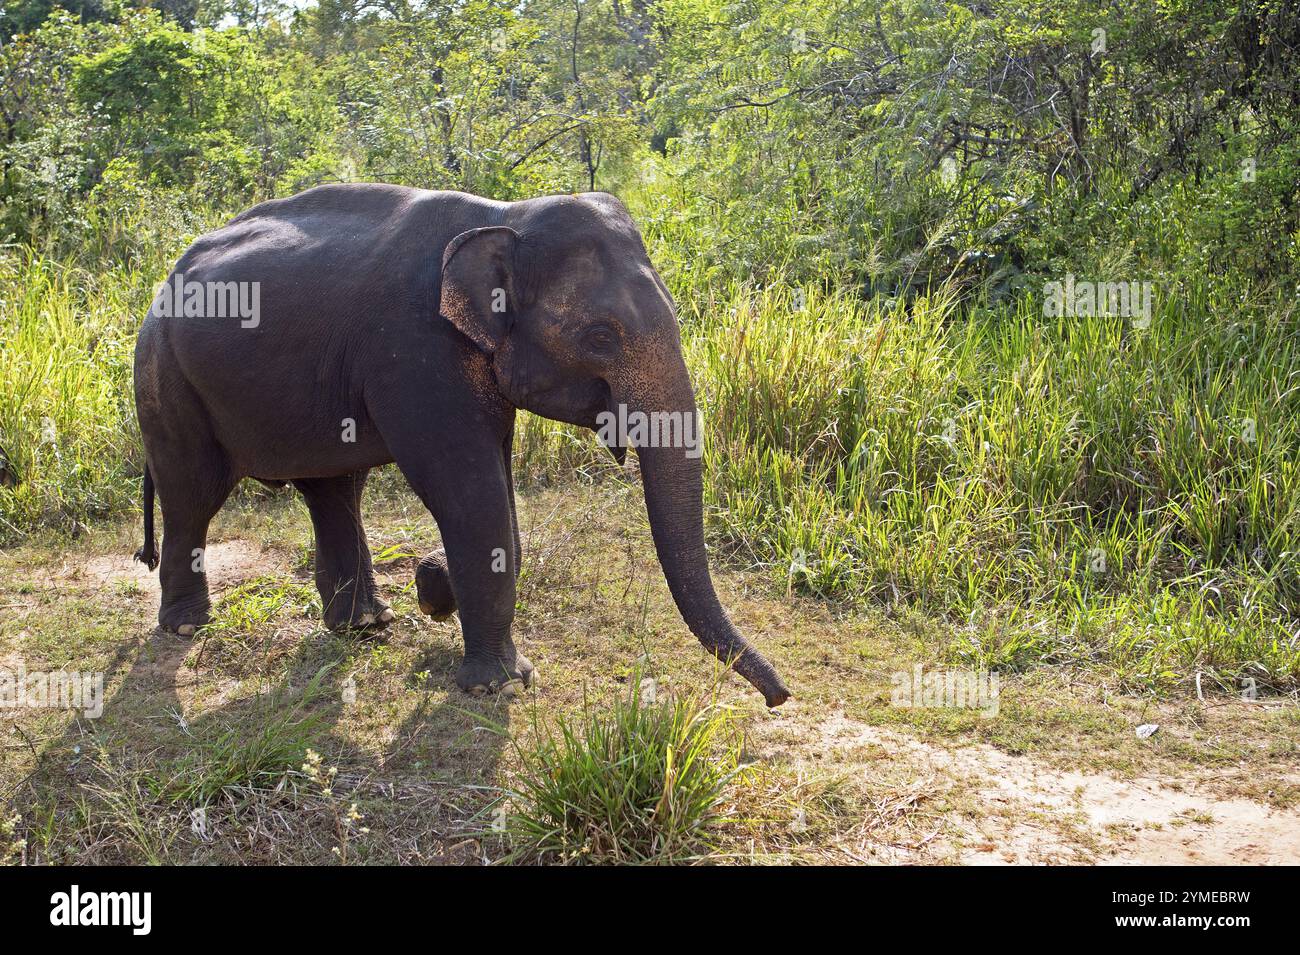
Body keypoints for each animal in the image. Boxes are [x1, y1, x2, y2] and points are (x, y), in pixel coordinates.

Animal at [132, 184, 790, 707]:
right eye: (600, 337)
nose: (779, 698)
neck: (505, 216)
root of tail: (161, 288)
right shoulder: (416, 351)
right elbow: (468, 492)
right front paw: (497, 681)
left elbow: (497, 487)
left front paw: (437, 589)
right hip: (164, 378)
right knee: (193, 495)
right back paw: (187, 629)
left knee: (334, 491)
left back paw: (365, 626)